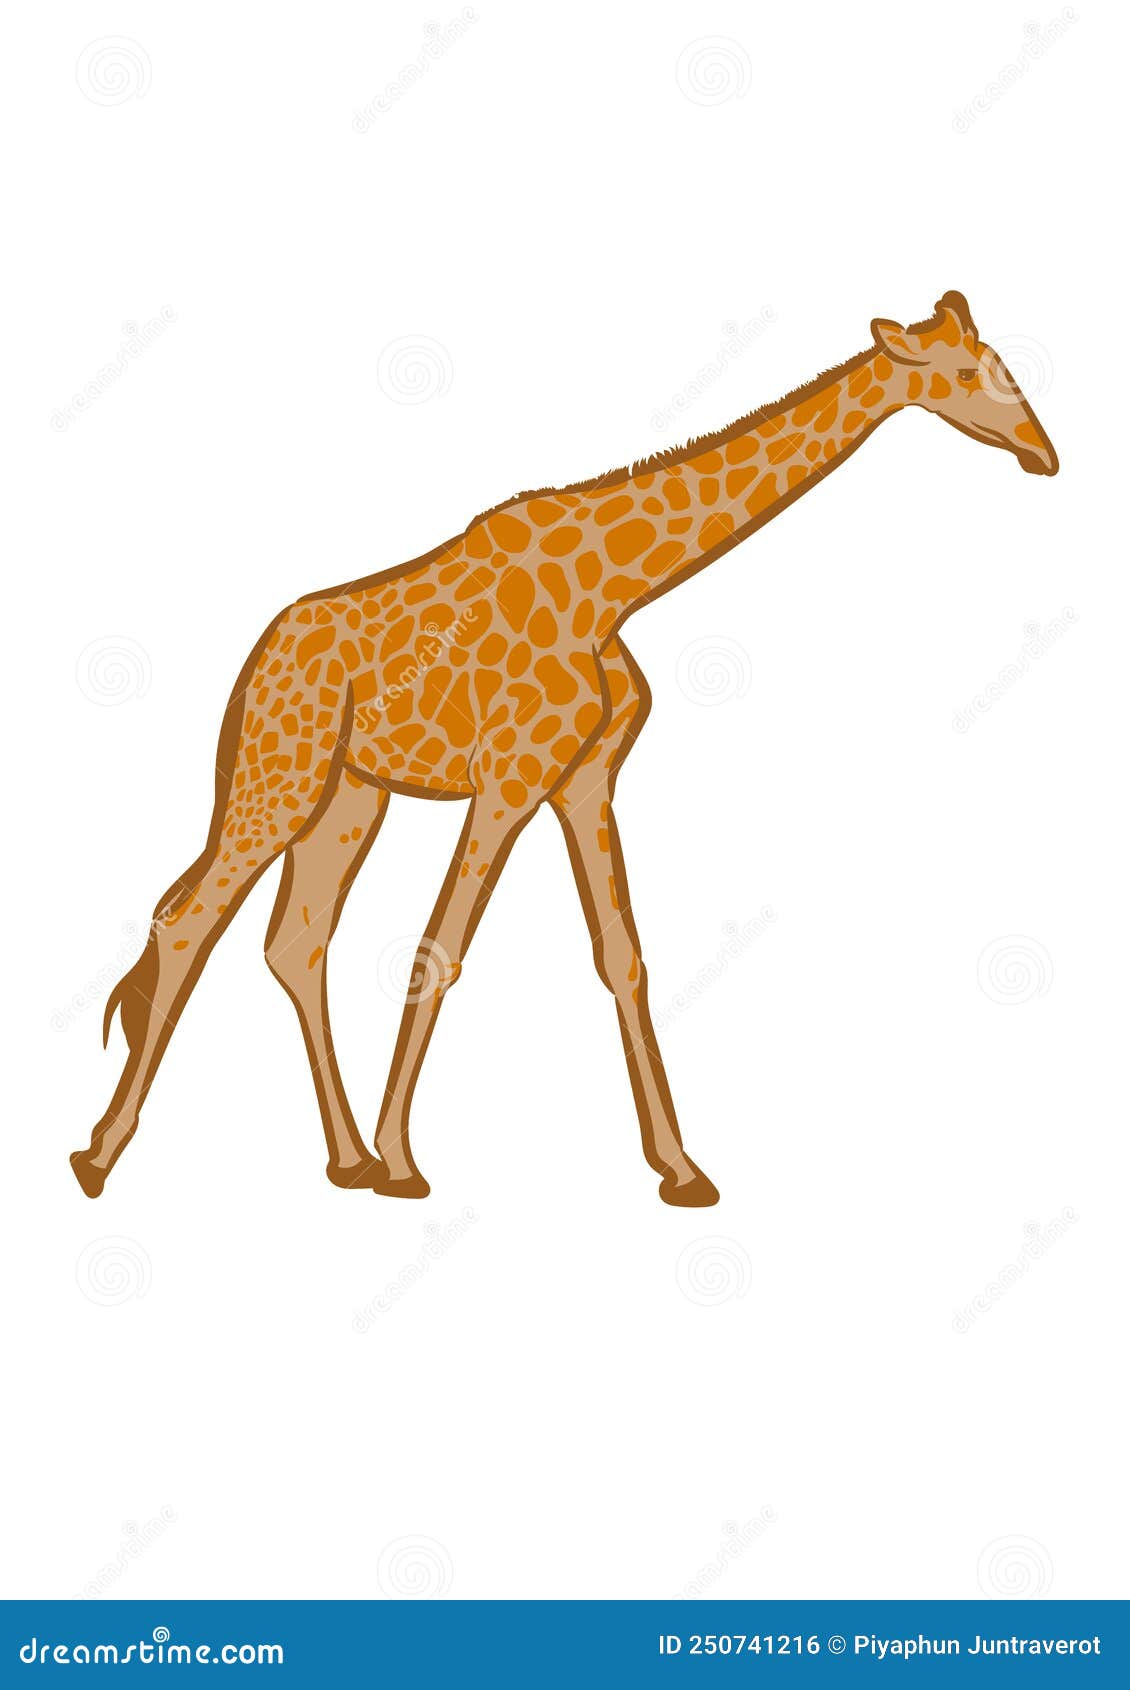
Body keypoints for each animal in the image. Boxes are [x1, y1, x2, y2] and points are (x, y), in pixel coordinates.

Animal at [73, 292, 1058, 1207]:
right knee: (189, 921)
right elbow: (439, 949)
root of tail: (259, 658)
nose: (1044, 454)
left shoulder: (585, 781)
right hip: (283, 771)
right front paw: (406, 1163)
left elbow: (624, 959)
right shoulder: (511, 778)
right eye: (964, 375)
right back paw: (99, 1156)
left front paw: (681, 1170)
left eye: (1005, 365)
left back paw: (343, 1161)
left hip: (349, 794)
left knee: (295, 942)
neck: (615, 586)